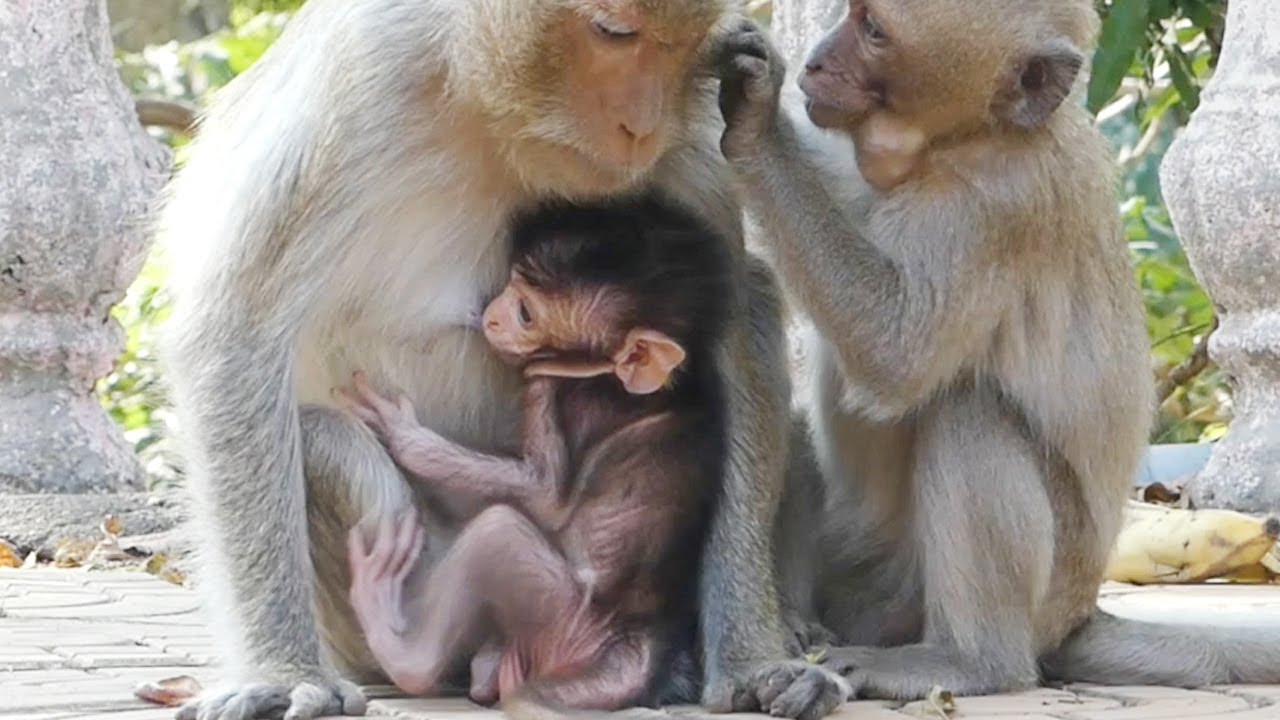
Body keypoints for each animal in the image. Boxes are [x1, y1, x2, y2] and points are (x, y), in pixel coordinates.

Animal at [335, 194, 734, 714]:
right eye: (512, 282)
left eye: (526, 313)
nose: (492, 314)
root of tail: (642, 651)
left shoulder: (571, 392)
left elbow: (545, 494)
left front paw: (405, 437)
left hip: (566, 623)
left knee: (498, 533)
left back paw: (397, 642)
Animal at [711, 0, 1280, 703]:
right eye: (852, 15)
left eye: (874, 32)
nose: (815, 63)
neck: (958, 139)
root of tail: (1080, 613)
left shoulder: (1001, 202)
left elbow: (896, 349)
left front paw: (755, 119)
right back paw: (794, 622)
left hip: (968, 593)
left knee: (968, 412)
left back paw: (968, 662)